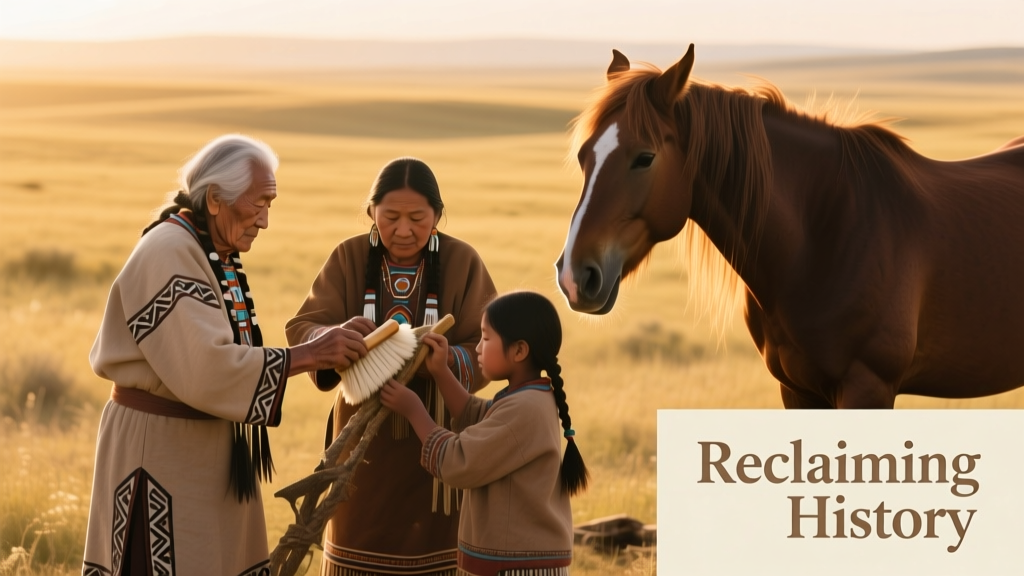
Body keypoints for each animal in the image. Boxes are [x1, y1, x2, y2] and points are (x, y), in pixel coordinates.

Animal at [555, 44, 1024, 408]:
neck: (824, 237)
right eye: (582, 155)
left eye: (645, 157)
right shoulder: (797, 388)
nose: (574, 276)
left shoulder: (869, 386)